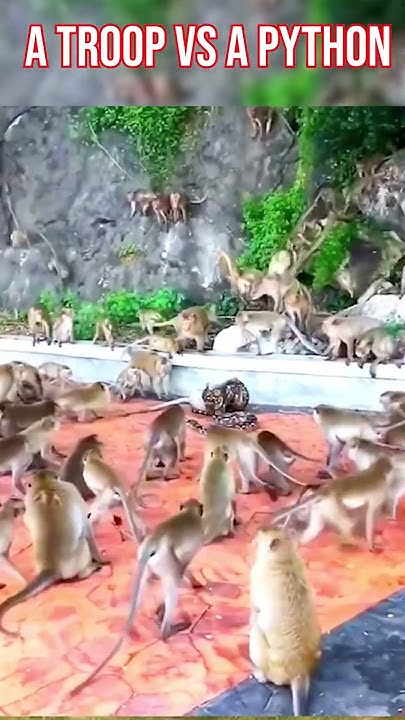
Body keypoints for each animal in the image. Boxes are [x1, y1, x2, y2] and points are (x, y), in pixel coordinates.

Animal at [0, 470, 109, 637]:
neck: (46, 486)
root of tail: (50, 567)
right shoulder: (72, 489)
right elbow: (86, 525)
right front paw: (102, 560)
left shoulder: (28, 502)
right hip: (79, 554)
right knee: (83, 539)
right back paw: (88, 570)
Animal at [68, 498, 204, 697]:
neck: (189, 513)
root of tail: (153, 541)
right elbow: (184, 569)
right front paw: (195, 583)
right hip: (164, 559)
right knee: (172, 582)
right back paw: (166, 631)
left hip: (147, 561)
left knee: (146, 587)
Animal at [249, 527, 321, 717]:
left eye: (260, 536)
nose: (254, 536)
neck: (285, 559)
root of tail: (300, 671)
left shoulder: (257, 575)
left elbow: (256, 611)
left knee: (256, 629)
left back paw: (260, 674)